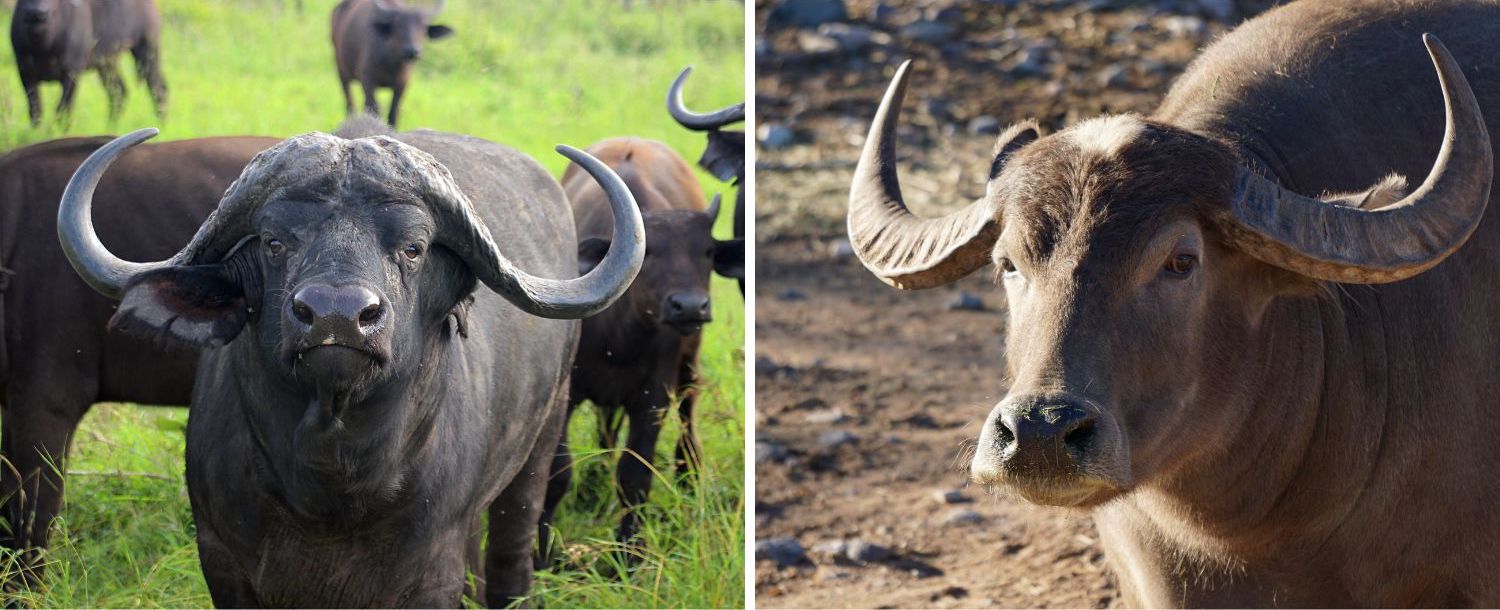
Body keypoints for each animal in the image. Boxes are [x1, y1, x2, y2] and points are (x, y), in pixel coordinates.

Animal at [9, 0, 169, 126]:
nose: (37, 12)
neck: (44, 45)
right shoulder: (25, 72)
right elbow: (35, 112)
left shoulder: (72, 73)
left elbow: (63, 111)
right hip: (106, 63)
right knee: (118, 91)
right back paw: (110, 127)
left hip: (147, 50)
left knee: (158, 89)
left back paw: (161, 124)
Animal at [57, 124, 643, 606]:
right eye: (273, 241)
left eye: (413, 247)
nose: (335, 316)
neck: (333, 484)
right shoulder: (221, 561)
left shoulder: (430, 574)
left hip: (541, 445)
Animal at [539, 137, 742, 561]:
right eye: (649, 253)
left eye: (707, 253)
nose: (690, 307)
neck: (620, 334)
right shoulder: (567, 393)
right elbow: (556, 474)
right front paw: (544, 554)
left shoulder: (654, 395)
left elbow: (635, 476)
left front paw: (629, 556)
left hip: (689, 366)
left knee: (687, 416)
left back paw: (688, 476)